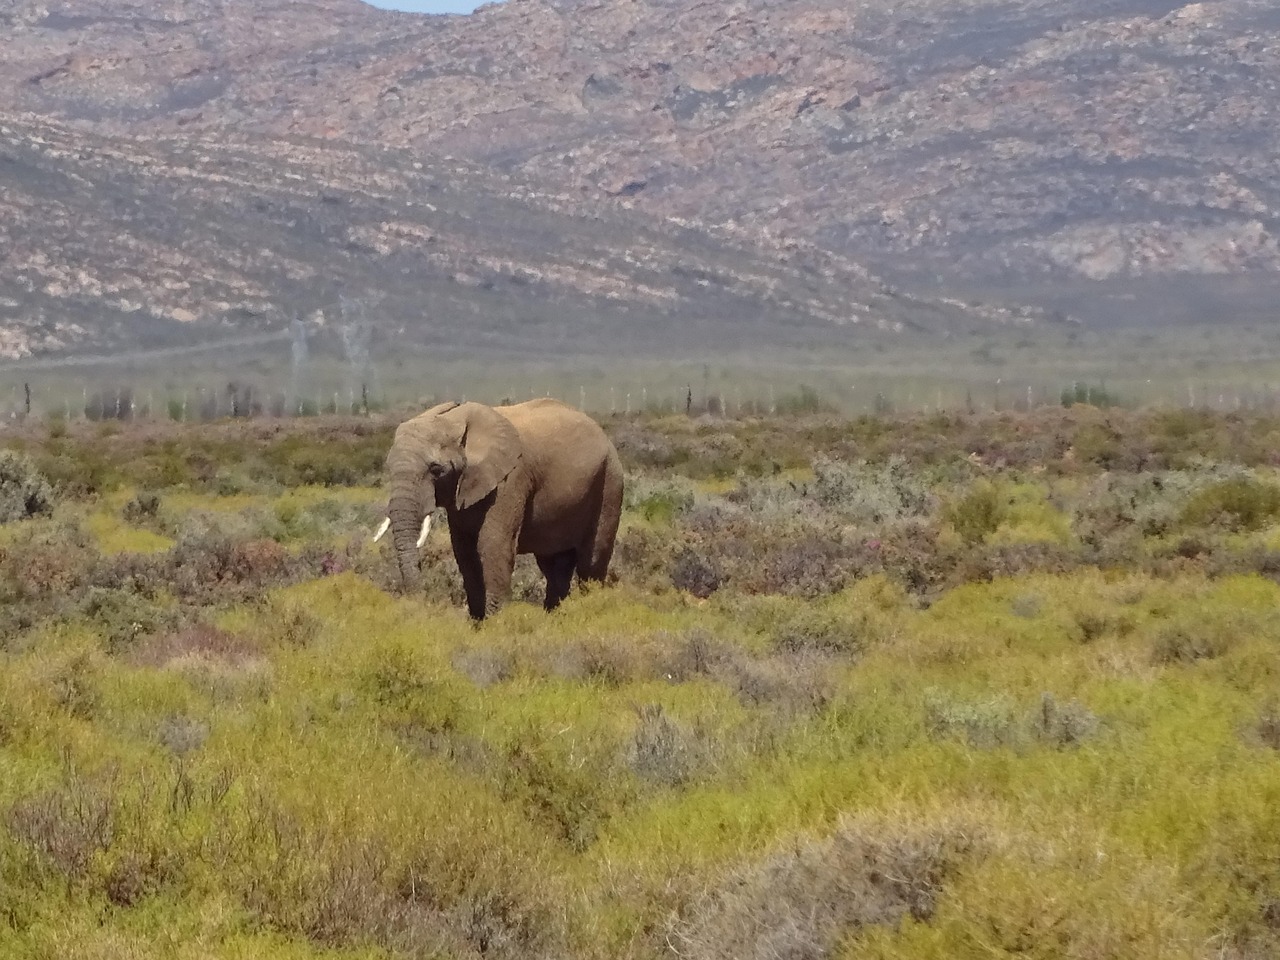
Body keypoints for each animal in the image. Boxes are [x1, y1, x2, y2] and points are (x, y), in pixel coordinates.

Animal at [373, 398, 624, 620]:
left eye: (436, 469)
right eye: (388, 466)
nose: (417, 597)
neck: (455, 420)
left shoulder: (511, 479)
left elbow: (492, 545)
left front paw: (496, 625)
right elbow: (465, 552)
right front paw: (478, 626)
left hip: (609, 482)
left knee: (592, 562)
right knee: (554, 567)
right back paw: (555, 620)